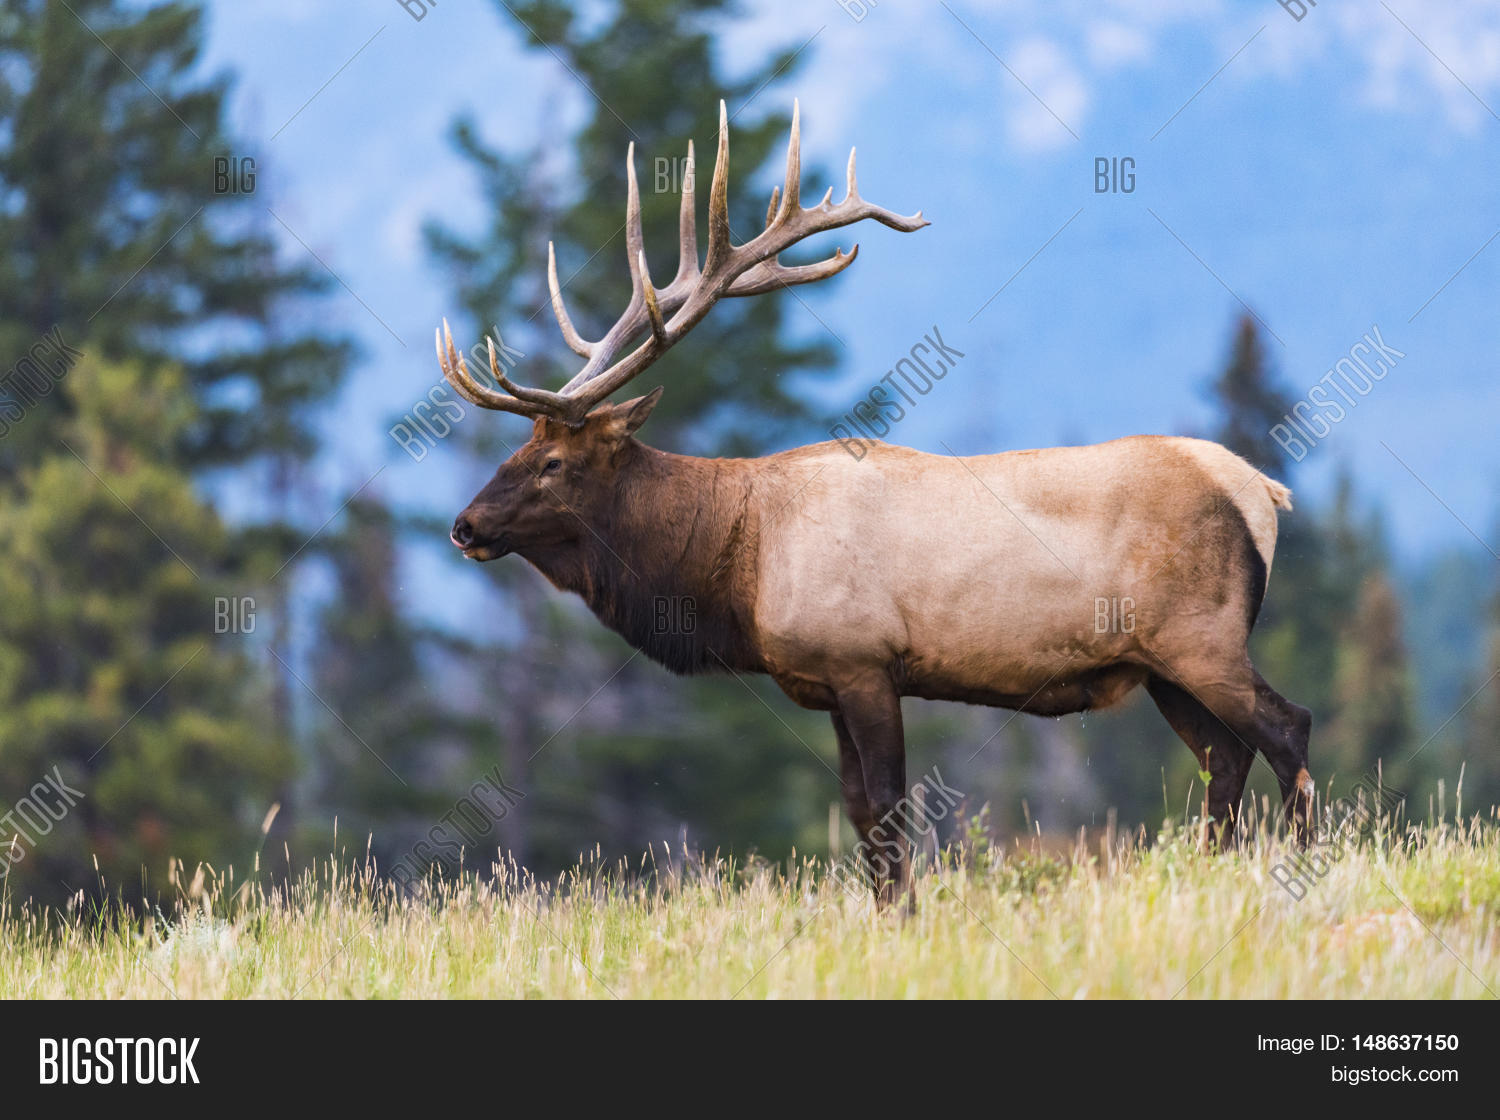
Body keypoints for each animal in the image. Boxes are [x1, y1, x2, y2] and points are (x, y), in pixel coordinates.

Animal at [434, 101, 1314, 909]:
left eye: (551, 462)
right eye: (518, 451)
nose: (464, 525)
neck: (738, 564)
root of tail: (1263, 491)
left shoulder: (863, 659)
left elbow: (890, 809)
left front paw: (910, 916)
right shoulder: (824, 679)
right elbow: (860, 813)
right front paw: (888, 913)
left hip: (1201, 637)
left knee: (1287, 729)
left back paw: (1303, 870)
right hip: (1161, 662)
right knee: (1226, 756)